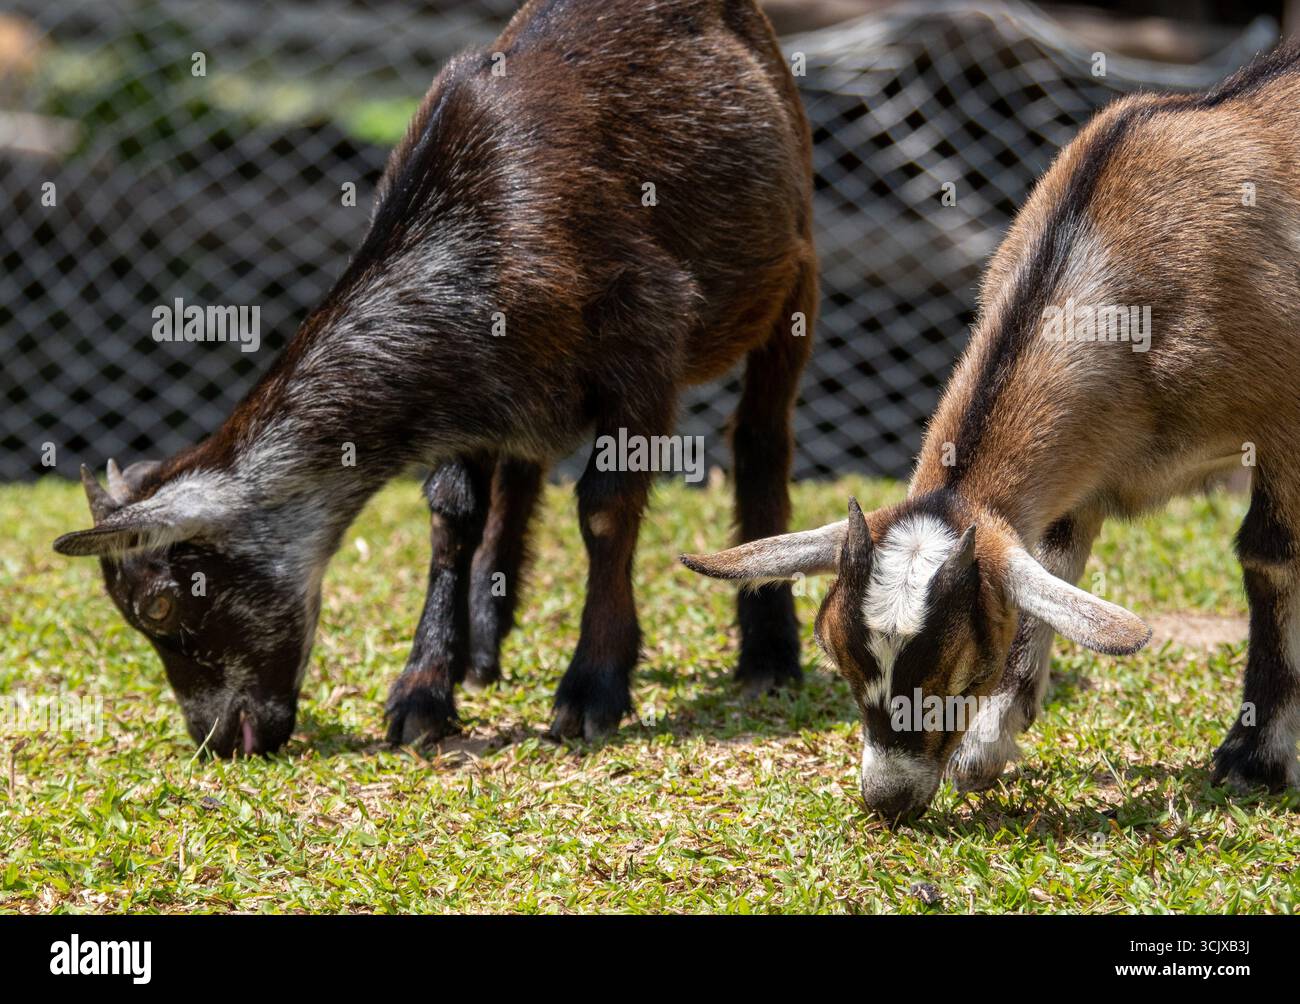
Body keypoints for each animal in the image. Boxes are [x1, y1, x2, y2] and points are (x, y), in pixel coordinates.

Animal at [53, 0, 817, 756]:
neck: (476, 234)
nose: (217, 739)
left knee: (761, 436)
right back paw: (484, 644)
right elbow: (453, 516)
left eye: (159, 604)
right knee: (521, 476)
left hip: (793, 277)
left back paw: (769, 656)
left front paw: (591, 690)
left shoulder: (647, 340)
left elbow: (604, 509)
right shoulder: (469, 385)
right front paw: (424, 692)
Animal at [683, 44, 1300, 820]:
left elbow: (1270, 557)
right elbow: (1054, 571)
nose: (888, 798)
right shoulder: (1079, 472)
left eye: (960, 669)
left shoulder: (1284, 424)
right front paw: (985, 750)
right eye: (844, 663)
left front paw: (1255, 759)